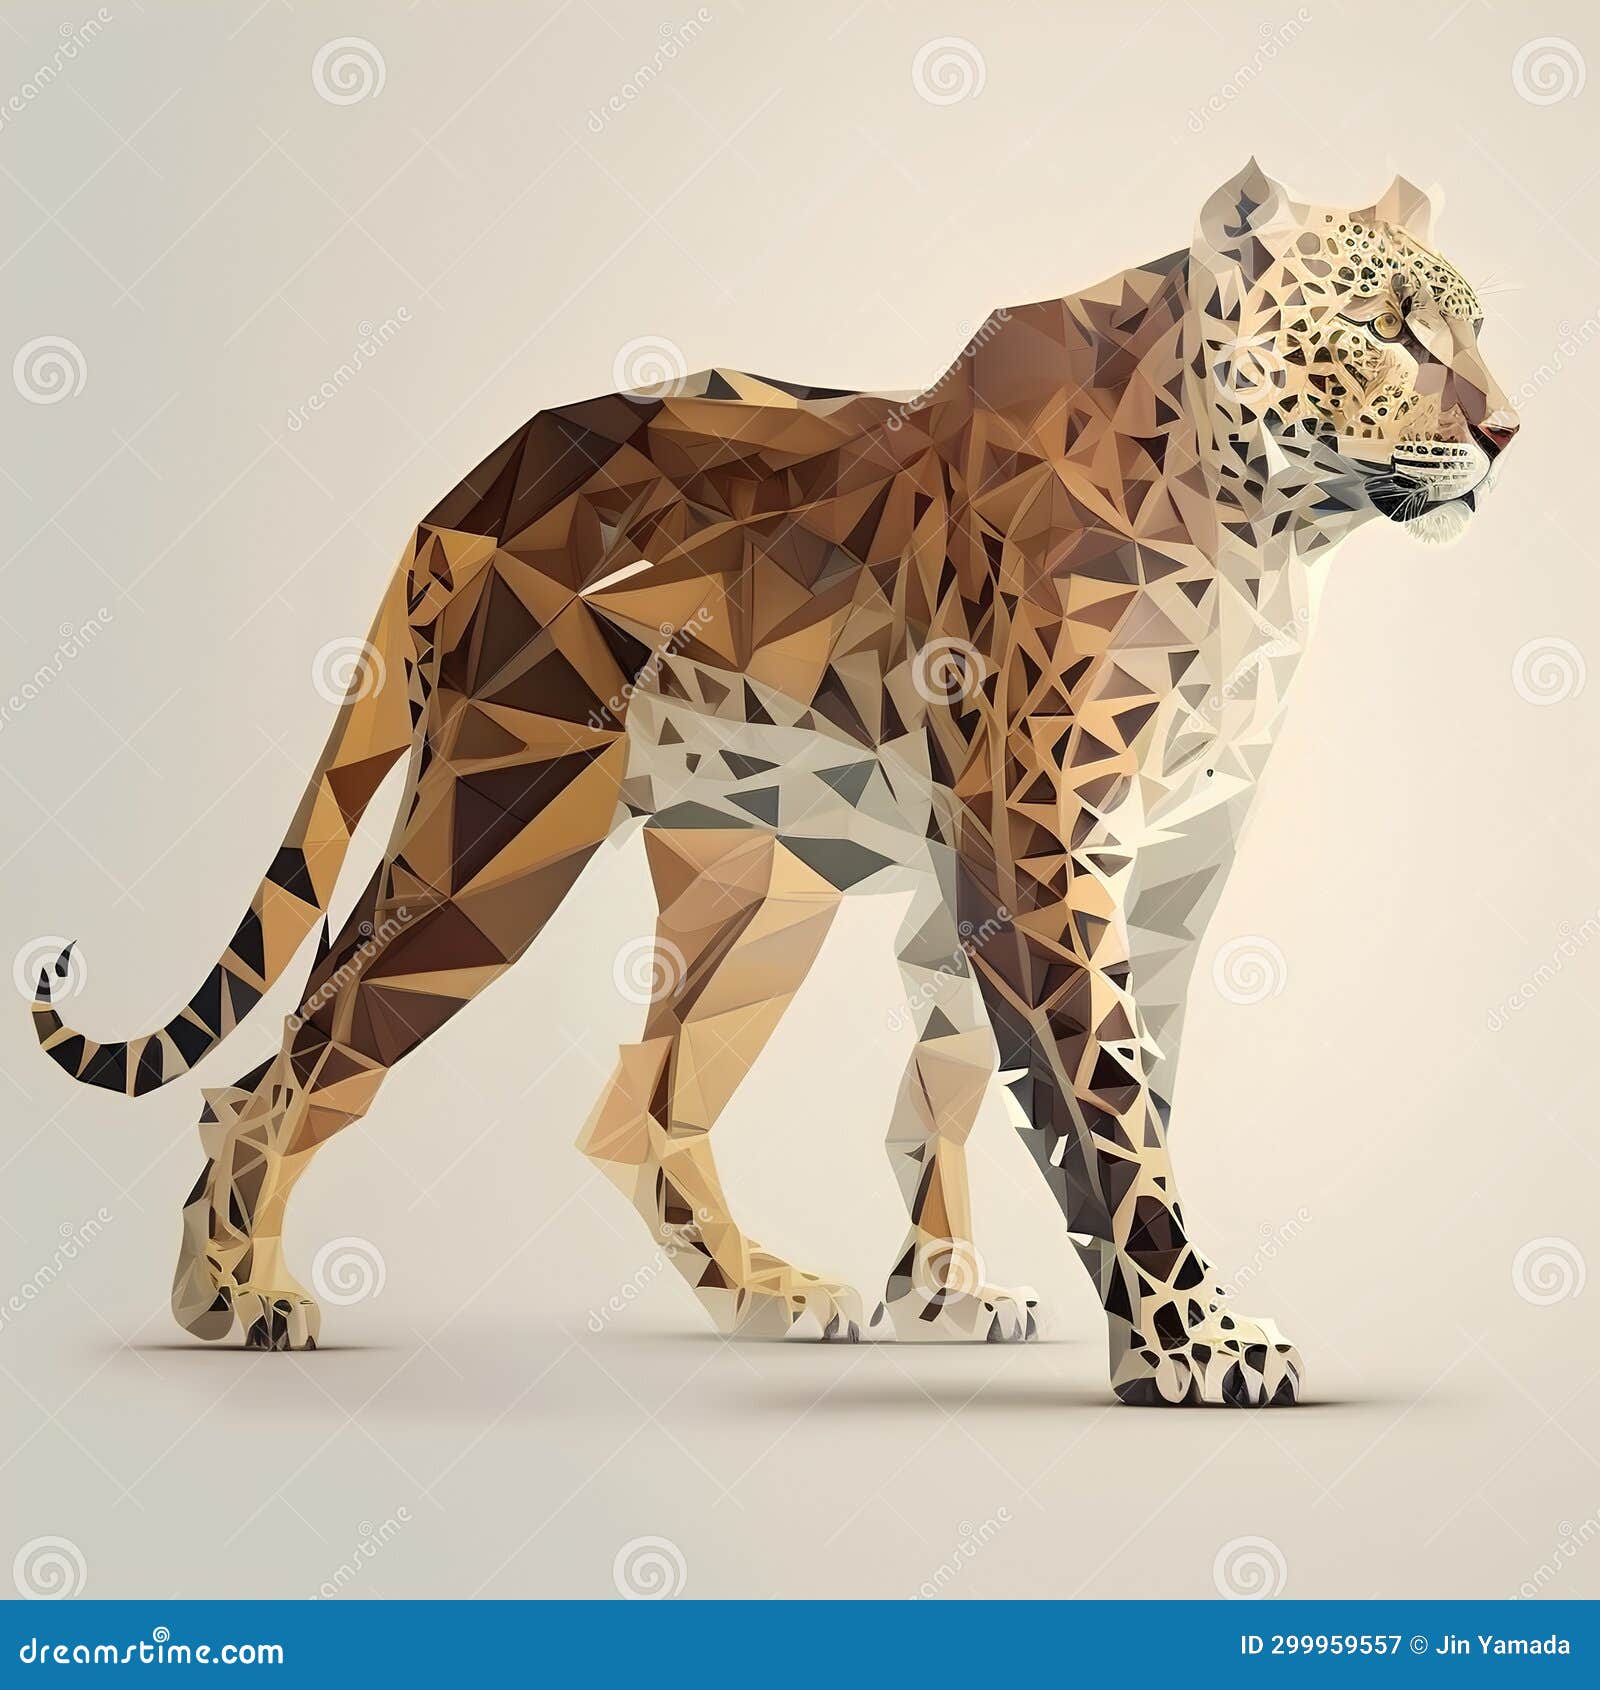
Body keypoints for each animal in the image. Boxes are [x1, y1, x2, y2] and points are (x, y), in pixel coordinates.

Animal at [33, 163, 1518, 1405]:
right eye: (1387, 330)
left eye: (1476, 324)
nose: (1507, 430)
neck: (1262, 539)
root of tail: (468, 485)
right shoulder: (1037, 850)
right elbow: (1102, 1102)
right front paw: (1192, 1345)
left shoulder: (1146, 880)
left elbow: (977, 1086)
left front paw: (953, 1299)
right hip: (497, 830)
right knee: (289, 1060)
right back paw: (235, 1297)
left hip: (755, 881)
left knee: (637, 1105)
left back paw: (767, 1294)